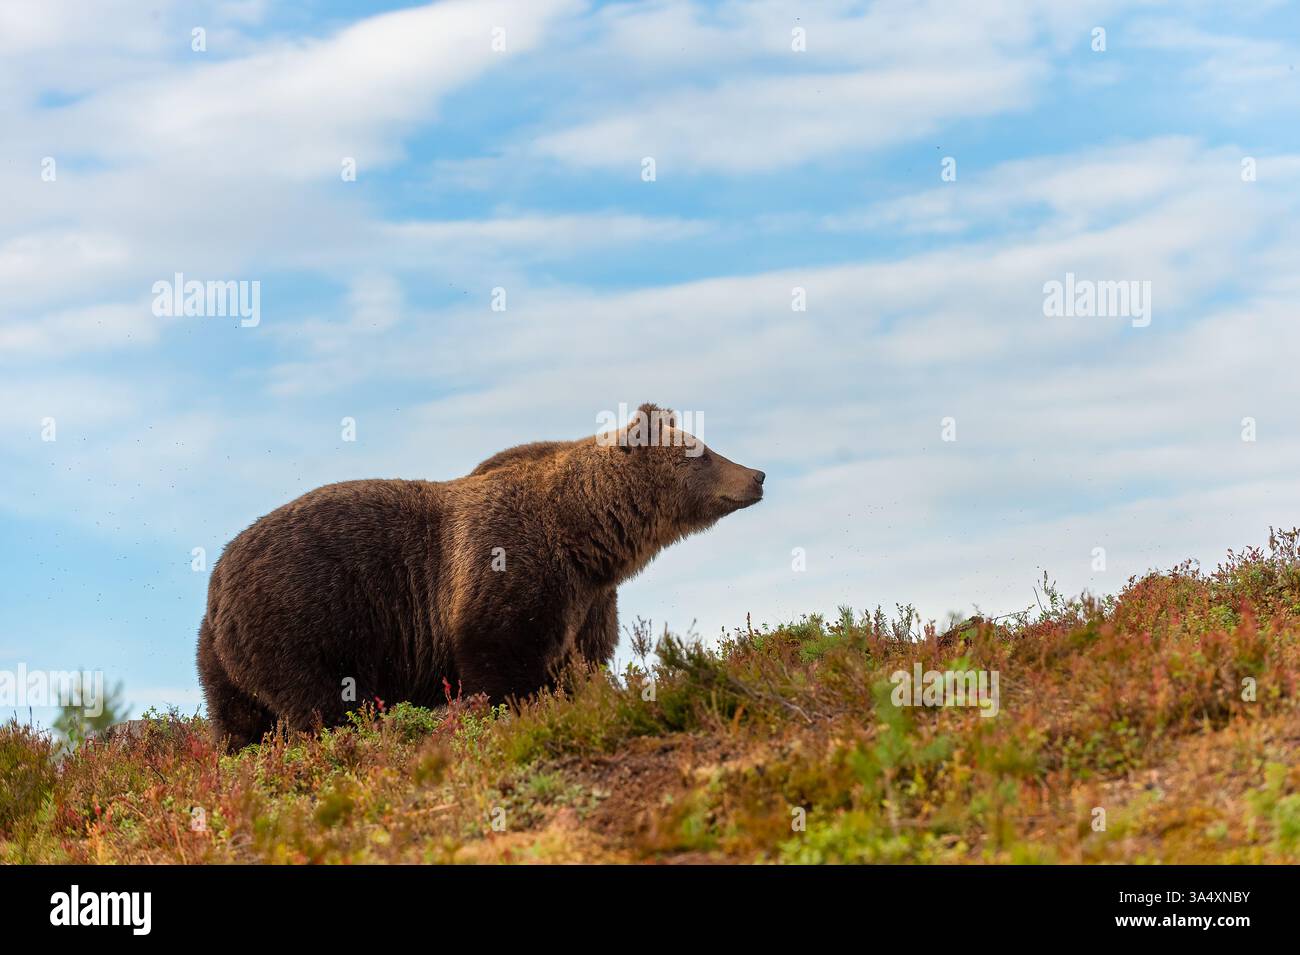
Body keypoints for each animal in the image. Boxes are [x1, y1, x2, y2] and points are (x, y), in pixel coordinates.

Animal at [197, 404, 764, 750]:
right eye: (700, 451)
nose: (757, 475)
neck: (583, 536)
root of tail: (220, 575)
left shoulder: (589, 602)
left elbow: (579, 666)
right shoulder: (507, 570)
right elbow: (502, 666)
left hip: (221, 656)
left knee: (239, 721)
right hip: (304, 619)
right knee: (320, 705)